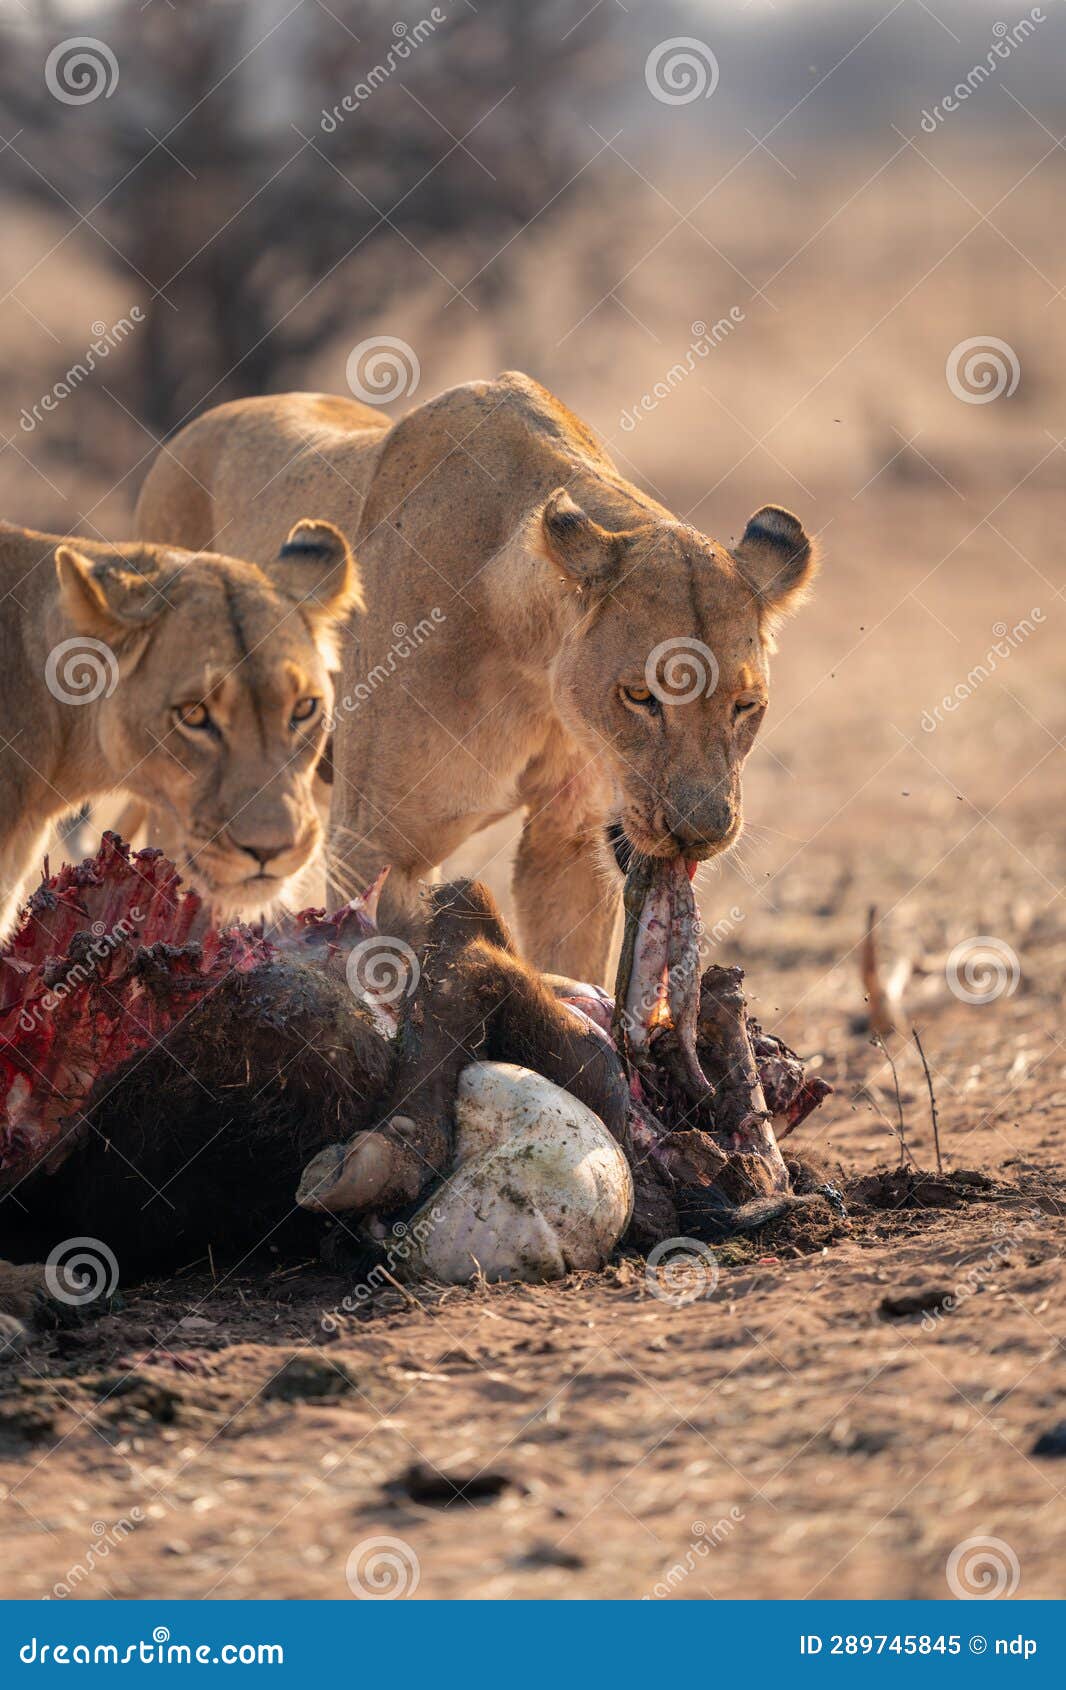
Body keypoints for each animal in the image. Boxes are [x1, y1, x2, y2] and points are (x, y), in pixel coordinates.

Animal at [135, 372, 818, 982]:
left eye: (746, 706)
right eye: (639, 697)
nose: (699, 833)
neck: (534, 664)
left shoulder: (570, 841)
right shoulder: (375, 847)